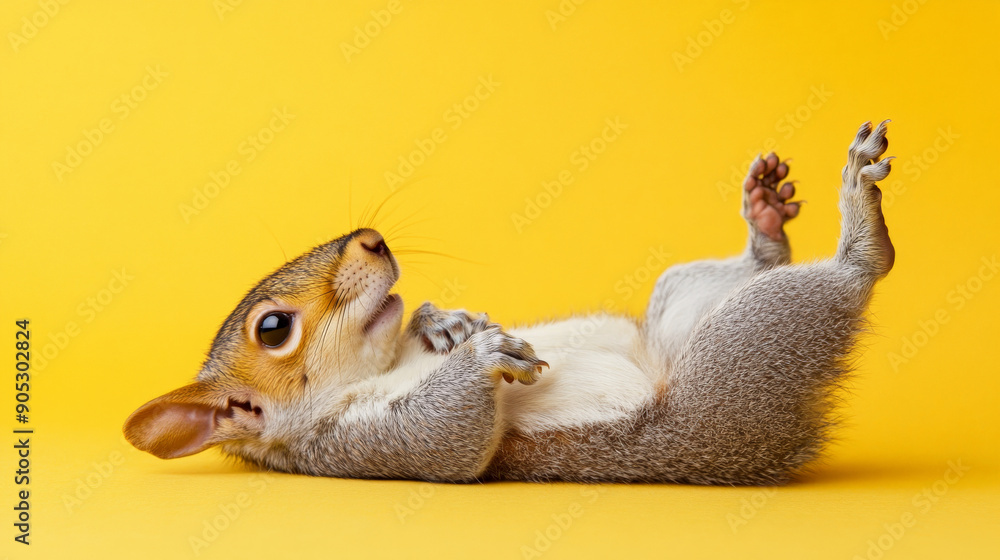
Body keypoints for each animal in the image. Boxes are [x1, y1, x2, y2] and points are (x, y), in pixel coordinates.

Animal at [124, 121, 895, 485]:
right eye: (274, 329)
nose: (372, 239)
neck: (383, 366)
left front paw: (446, 323)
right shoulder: (353, 445)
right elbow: (447, 439)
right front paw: (478, 353)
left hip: (682, 301)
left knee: (753, 268)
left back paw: (766, 219)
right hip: (744, 363)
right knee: (852, 277)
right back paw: (862, 231)